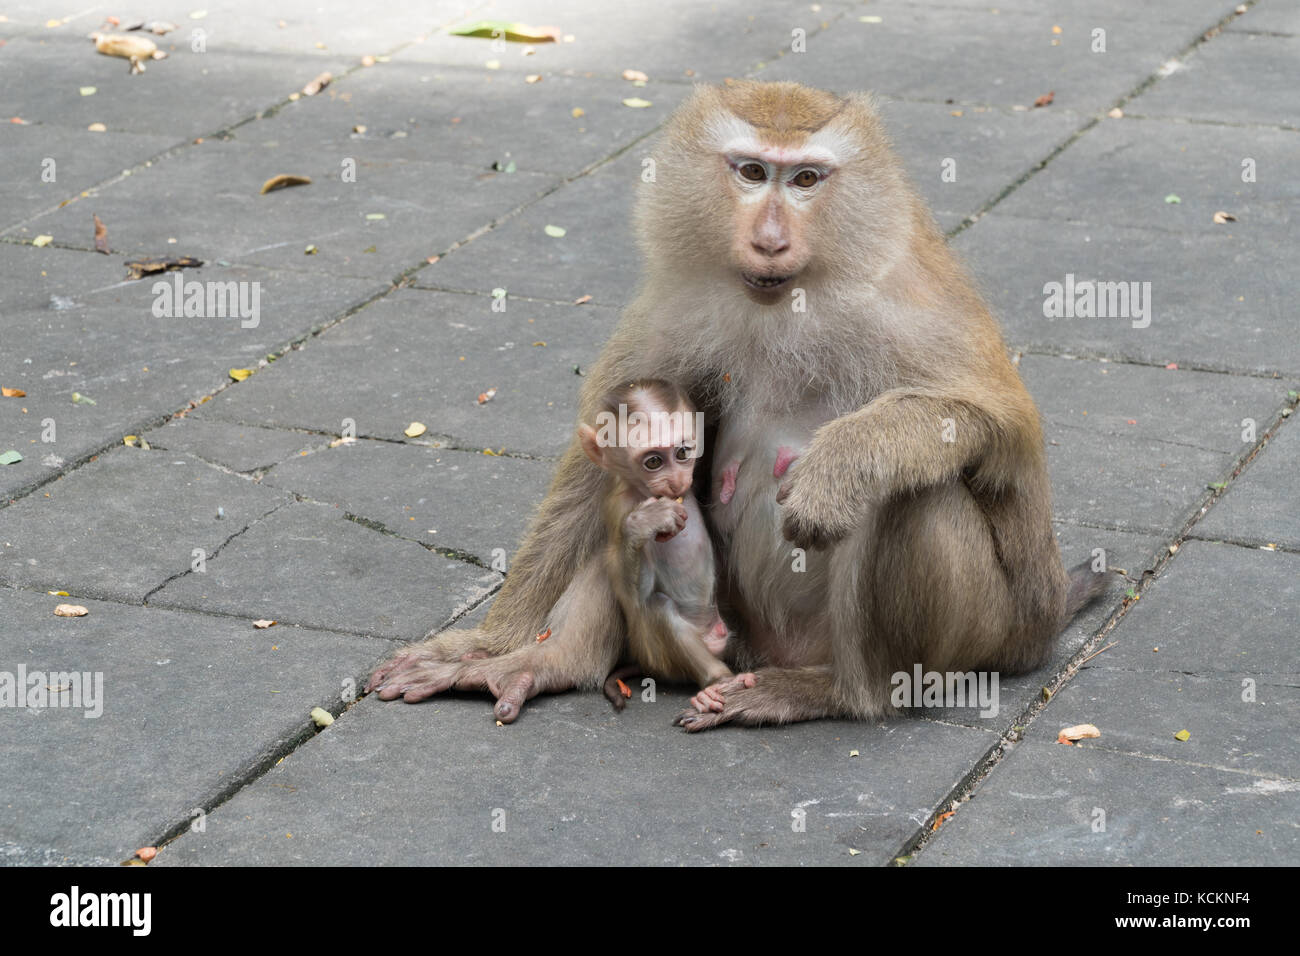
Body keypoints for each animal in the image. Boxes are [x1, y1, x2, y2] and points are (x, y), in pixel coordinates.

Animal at [575, 380, 734, 710]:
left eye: (683, 452)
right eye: (653, 461)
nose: (675, 482)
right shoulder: (617, 508)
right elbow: (635, 596)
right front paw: (645, 522)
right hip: (655, 653)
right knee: (658, 607)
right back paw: (717, 680)